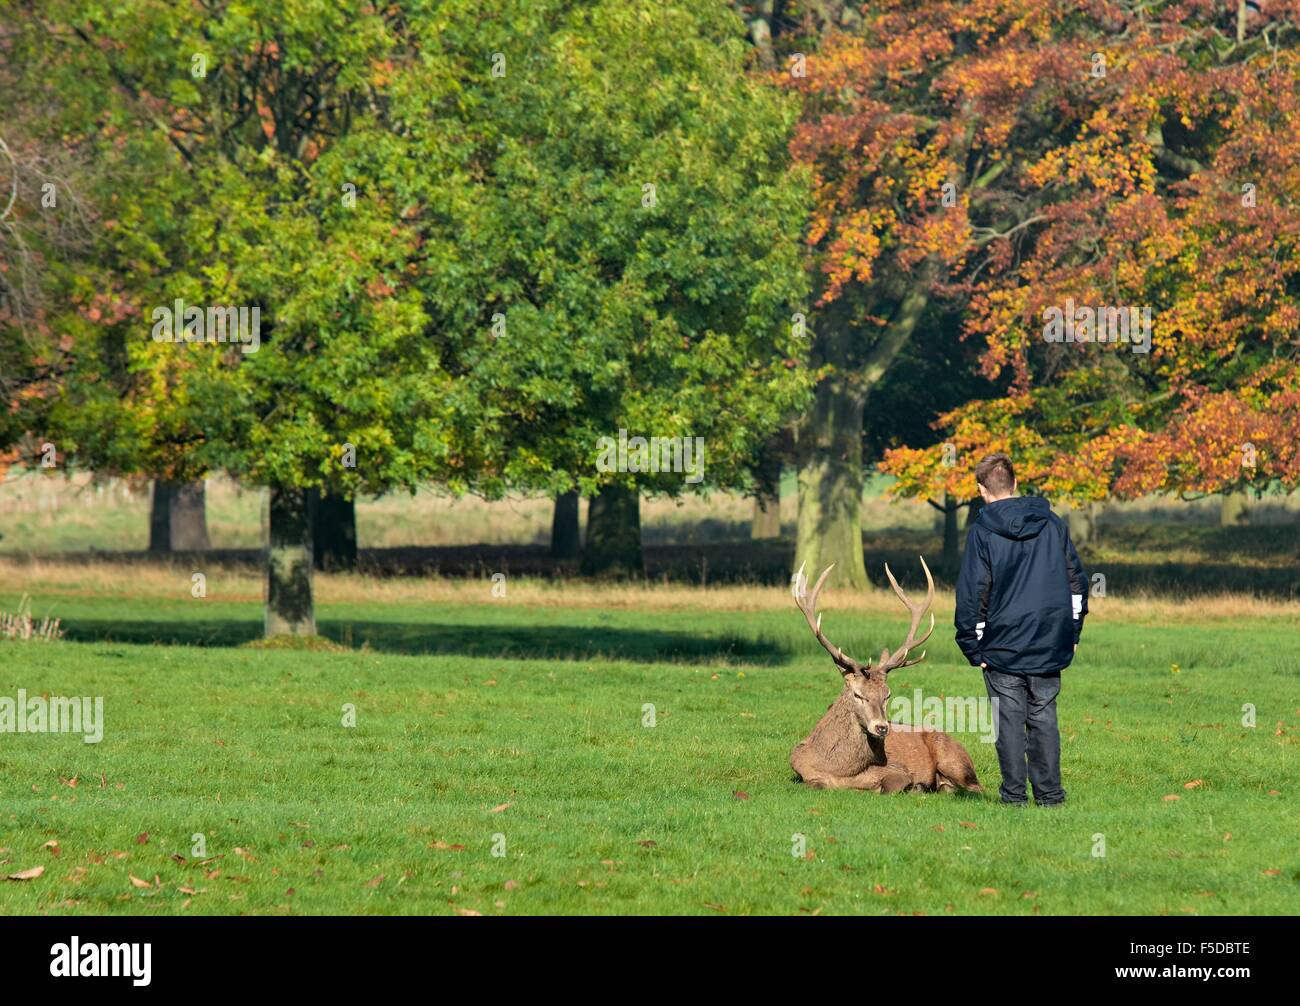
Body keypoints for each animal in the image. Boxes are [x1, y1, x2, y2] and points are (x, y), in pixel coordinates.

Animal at [789, 556, 982, 794]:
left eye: (887, 695)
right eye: (858, 694)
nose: (882, 727)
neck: (841, 771)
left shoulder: (895, 770)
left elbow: (888, 787)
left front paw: (914, 786)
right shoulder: (801, 770)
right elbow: (816, 784)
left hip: (953, 757)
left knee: (975, 787)